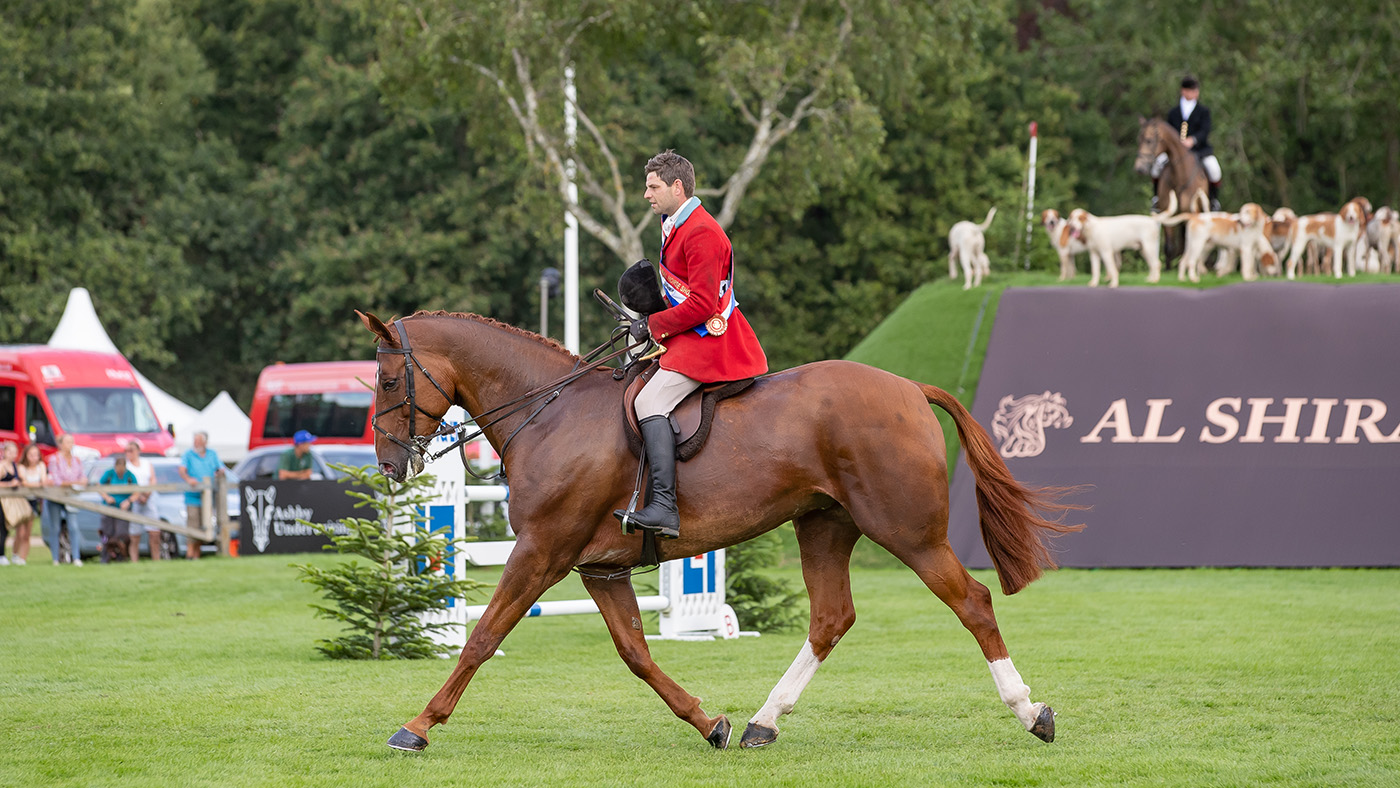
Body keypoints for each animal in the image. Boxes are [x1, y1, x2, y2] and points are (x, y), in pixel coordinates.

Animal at [358, 309, 1083, 752]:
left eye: (389, 380)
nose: (391, 466)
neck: (550, 412)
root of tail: (909, 388)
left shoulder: (542, 552)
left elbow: (481, 638)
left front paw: (417, 726)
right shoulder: (600, 567)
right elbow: (637, 653)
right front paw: (710, 723)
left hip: (908, 532)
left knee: (972, 602)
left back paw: (1032, 712)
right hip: (824, 526)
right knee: (831, 619)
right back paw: (764, 722)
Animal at [1135, 117, 1211, 261]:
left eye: (1149, 140)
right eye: (1138, 140)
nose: (1139, 168)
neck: (1179, 176)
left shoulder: (1191, 213)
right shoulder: (1167, 213)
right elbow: (1169, 248)